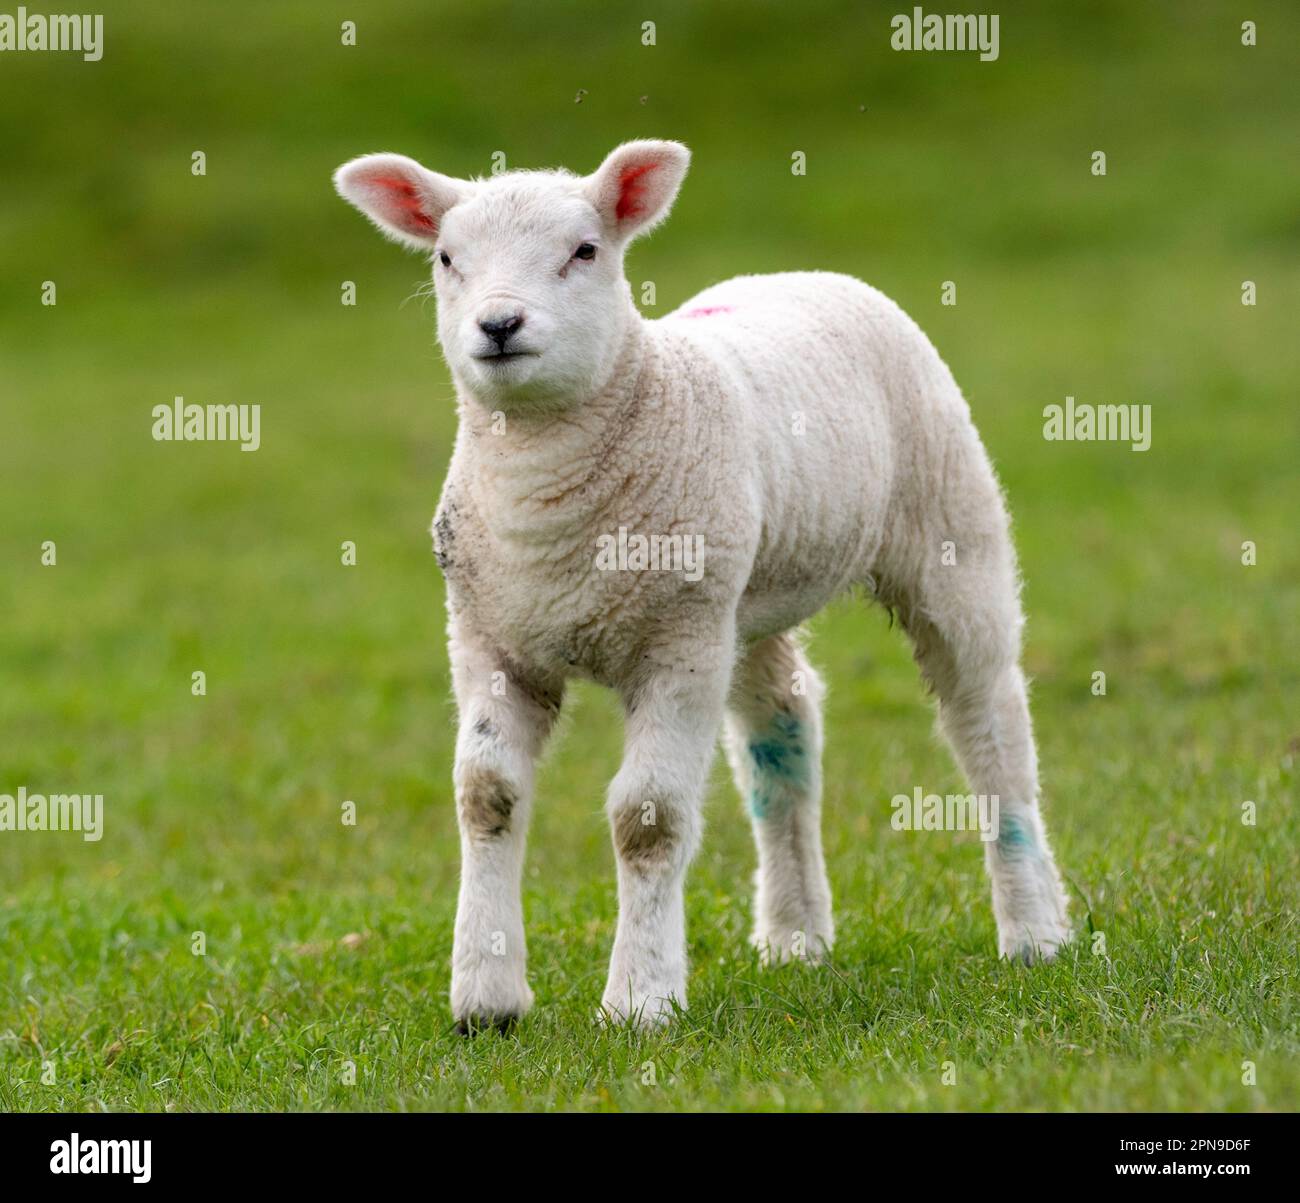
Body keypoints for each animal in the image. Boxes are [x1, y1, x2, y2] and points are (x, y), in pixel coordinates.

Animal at [334, 139, 1071, 1030]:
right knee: (783, 726)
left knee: (988, 719)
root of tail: (801, 273)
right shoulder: (489, 634)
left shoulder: (676, 643)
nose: (499, 325)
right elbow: (487, 793)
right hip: (744, 598)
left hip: (946, 522)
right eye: (447, 258)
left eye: (585, 251)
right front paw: (487, 998)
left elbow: (646, 818)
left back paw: (1034, 928)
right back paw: (795, 934)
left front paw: (640, 999)